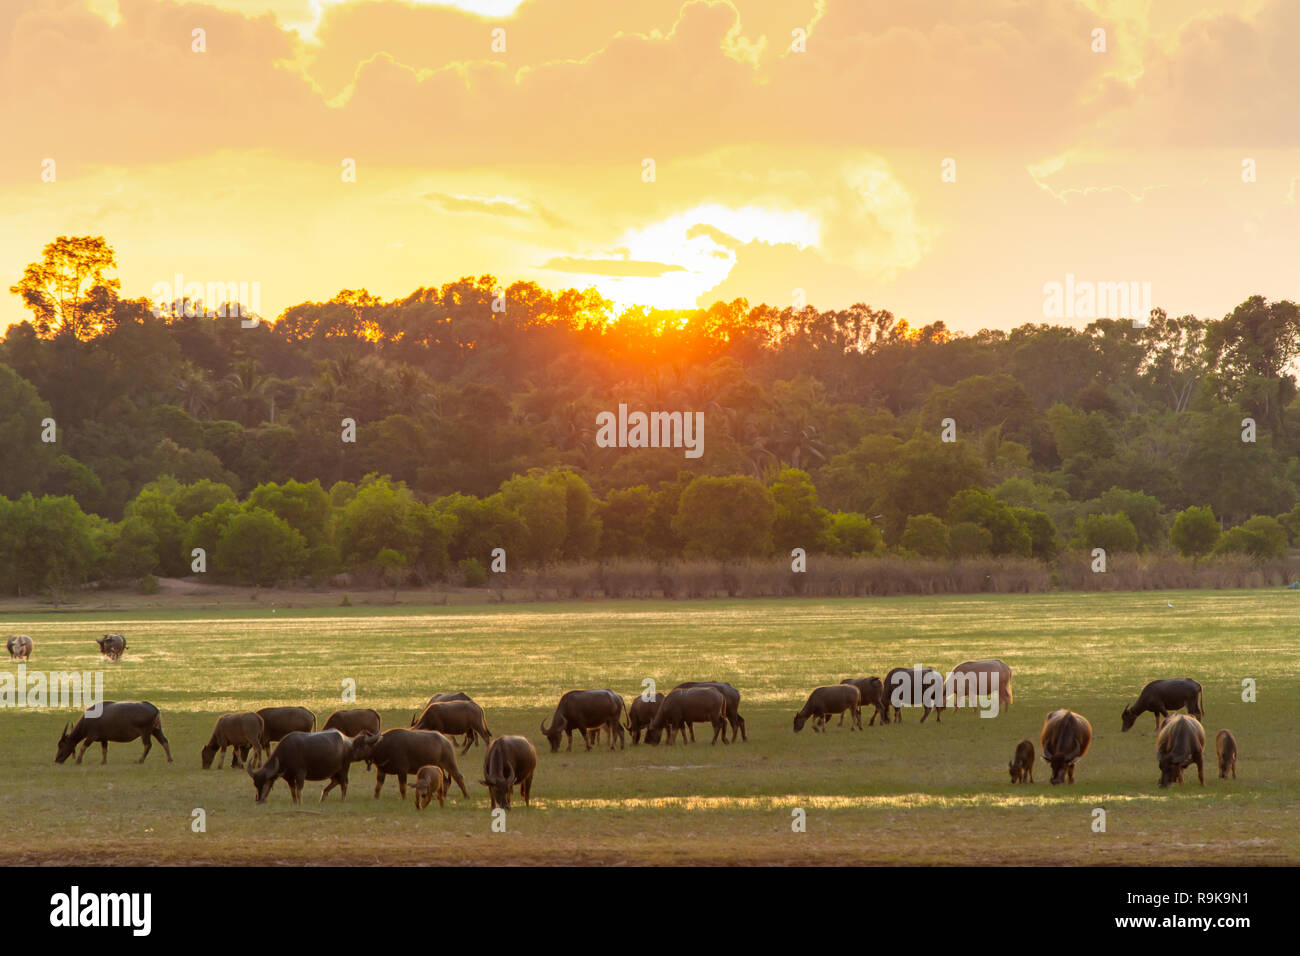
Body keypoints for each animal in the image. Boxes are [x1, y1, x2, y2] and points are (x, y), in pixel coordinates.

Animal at [249, 729, 380, 804]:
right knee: (336, 781)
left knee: (344, 783)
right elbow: (293, 791)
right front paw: (295, 803)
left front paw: (300, 803)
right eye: (255, 784)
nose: (258, 800)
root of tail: (347, 741)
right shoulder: (289, 778)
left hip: (344, 768)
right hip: (332, 771)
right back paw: (322, 797)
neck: (286, 753)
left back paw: (342, 800)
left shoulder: (300, 774)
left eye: (266, 782)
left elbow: (299, 790)